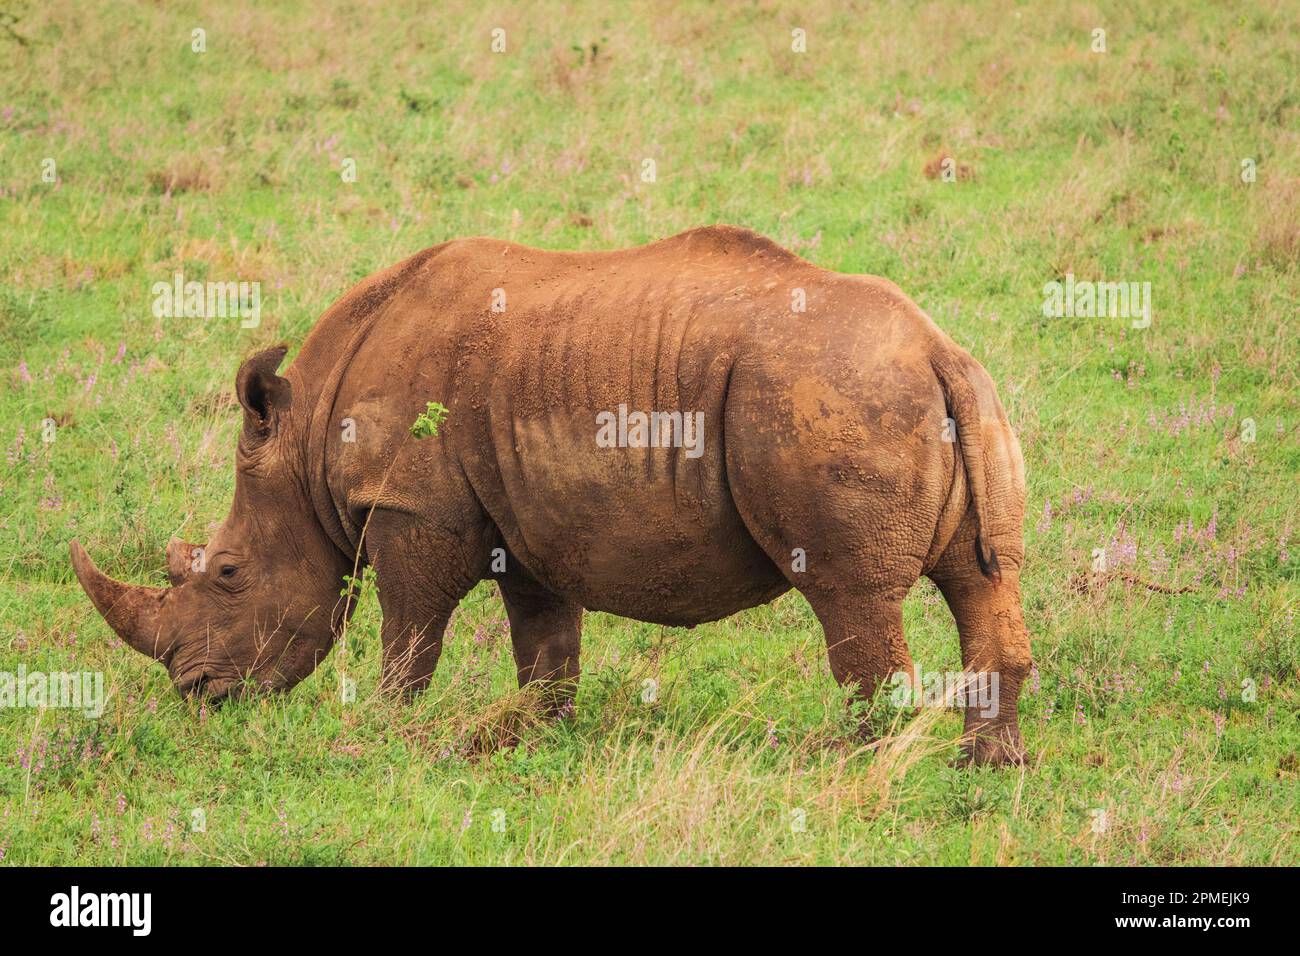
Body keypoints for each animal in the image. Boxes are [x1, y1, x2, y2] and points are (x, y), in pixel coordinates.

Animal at [71, 226, 1031, 764]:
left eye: (227, 573)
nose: (196, 693)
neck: (306, 444)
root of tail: (934, 348)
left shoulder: (410, 505)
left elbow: (409, 635)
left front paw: (383, 734)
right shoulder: (524, 512)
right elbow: (544, 645)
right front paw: (521, 741)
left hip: (833, 394)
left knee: (849, 594)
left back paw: (848, 771)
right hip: (955, 401)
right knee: (980, 580)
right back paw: (988, 771)